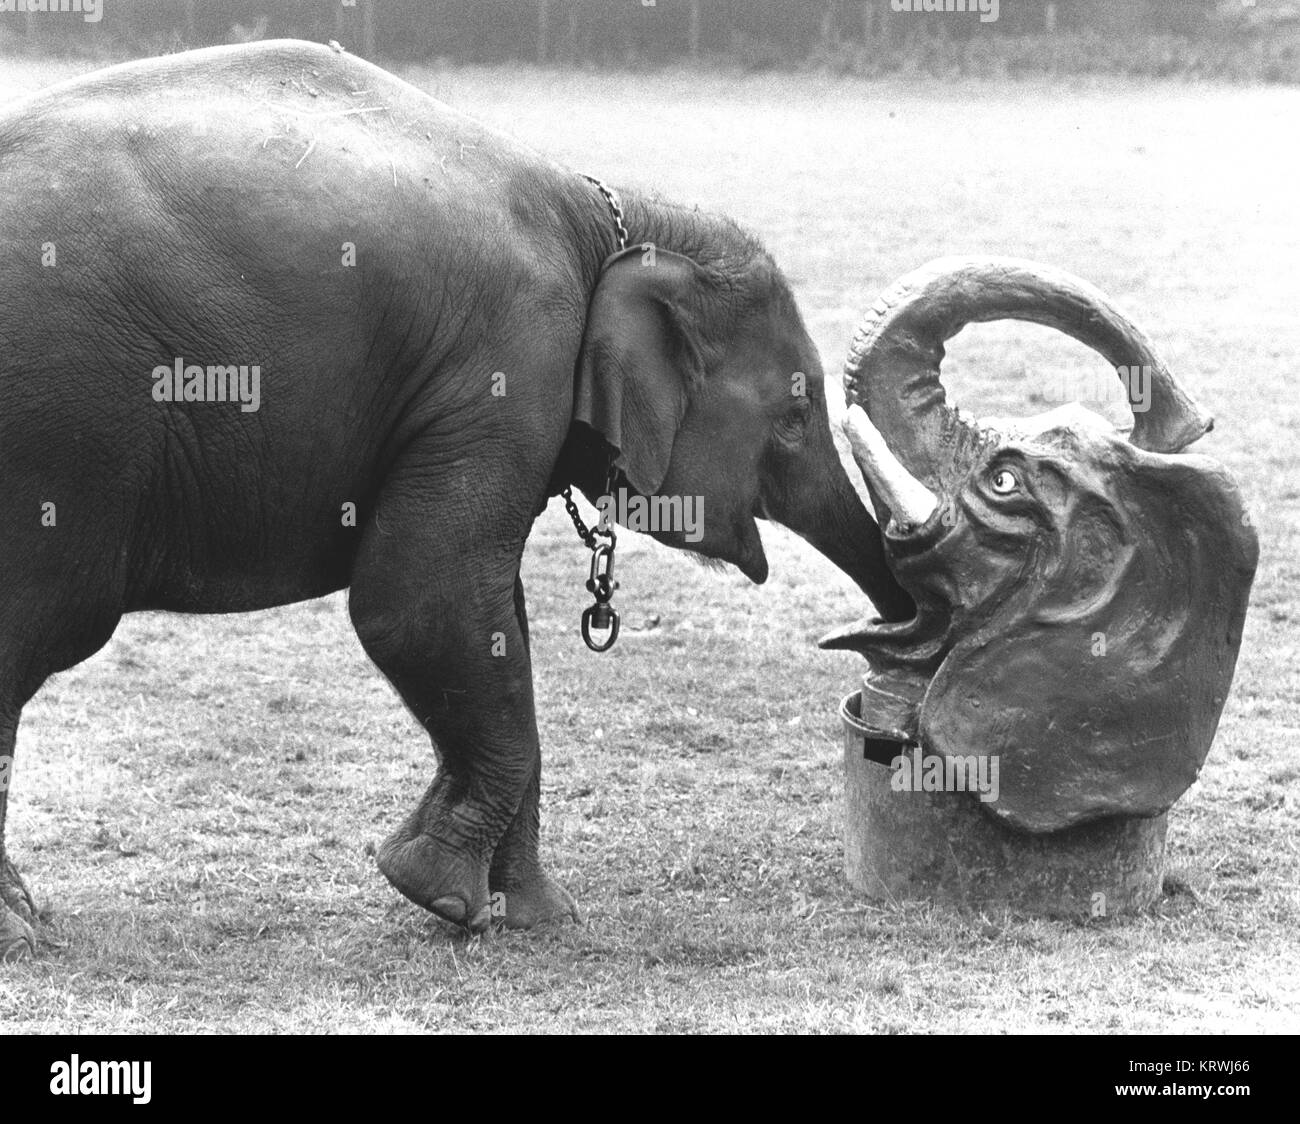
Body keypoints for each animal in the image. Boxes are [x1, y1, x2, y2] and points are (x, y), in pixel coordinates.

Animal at [0, 41, 912, 958]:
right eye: (794, 418)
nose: (903, 629)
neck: (609, 222)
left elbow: (494, 621)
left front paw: (534, 915)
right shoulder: (510, 366)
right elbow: (419, 603)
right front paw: (435, 890)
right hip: (66, 424)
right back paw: (20, 933)